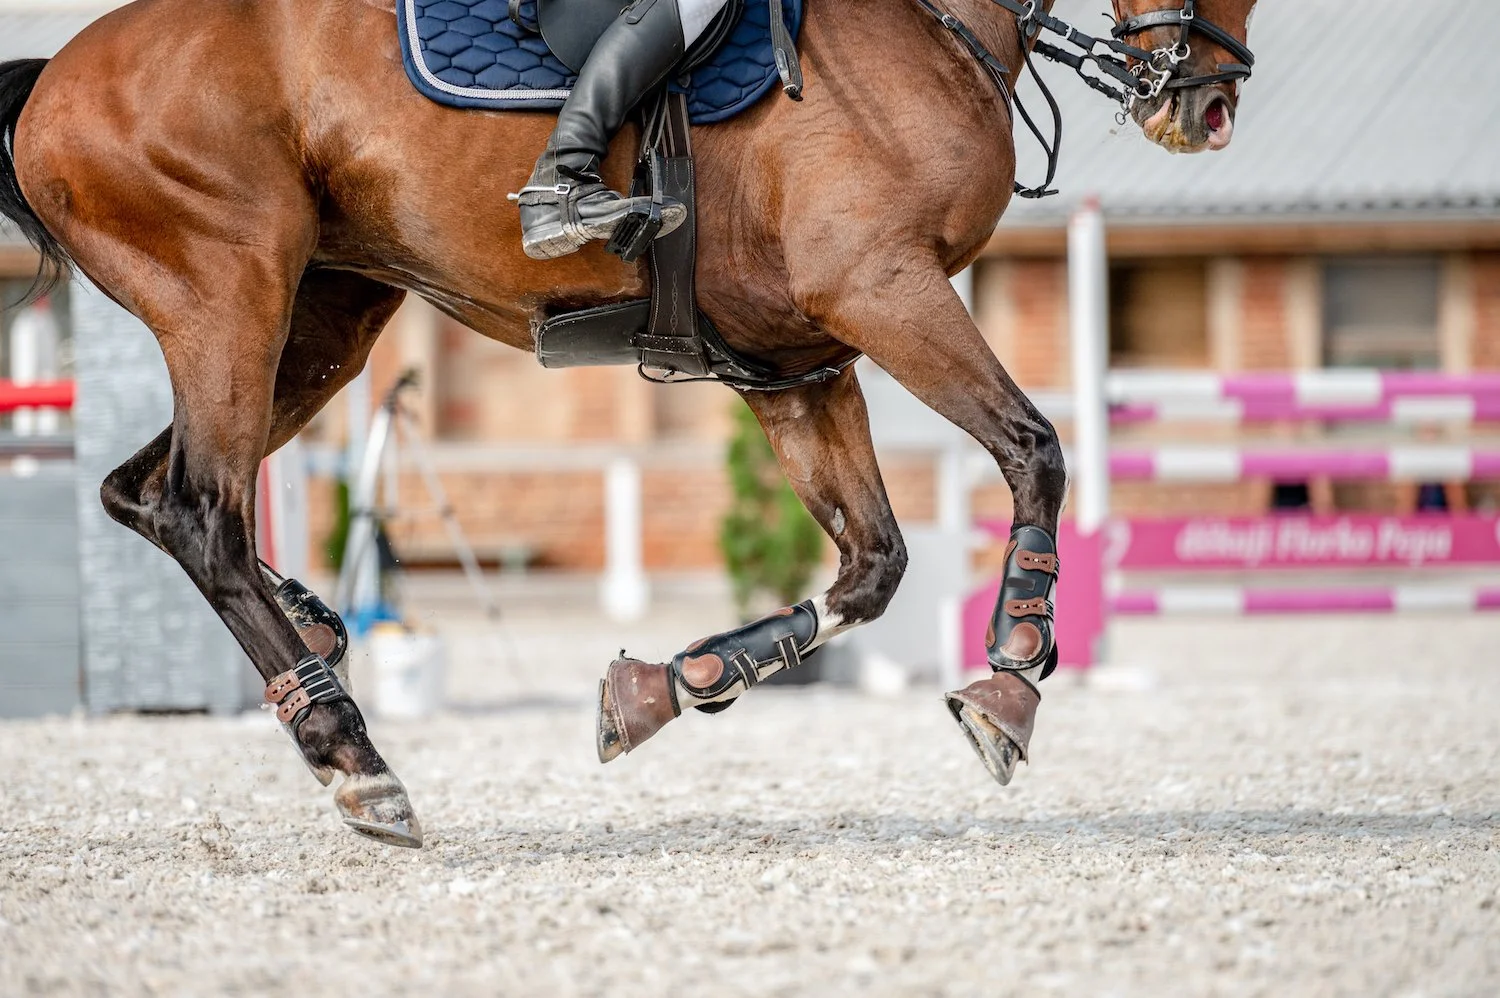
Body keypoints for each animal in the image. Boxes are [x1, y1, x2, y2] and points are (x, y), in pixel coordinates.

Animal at [0, 0, 1257, 847]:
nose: (1206, 105)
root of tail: (55, 74)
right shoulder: (885, 289)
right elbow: (1033, 450)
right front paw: (1010, 684)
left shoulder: (800, 367)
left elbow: (872, 566)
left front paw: (666, 683)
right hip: (230, 293)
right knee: (200, 510)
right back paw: (354, 757)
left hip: (322, 318)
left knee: (140, 491)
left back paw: (313, 631)